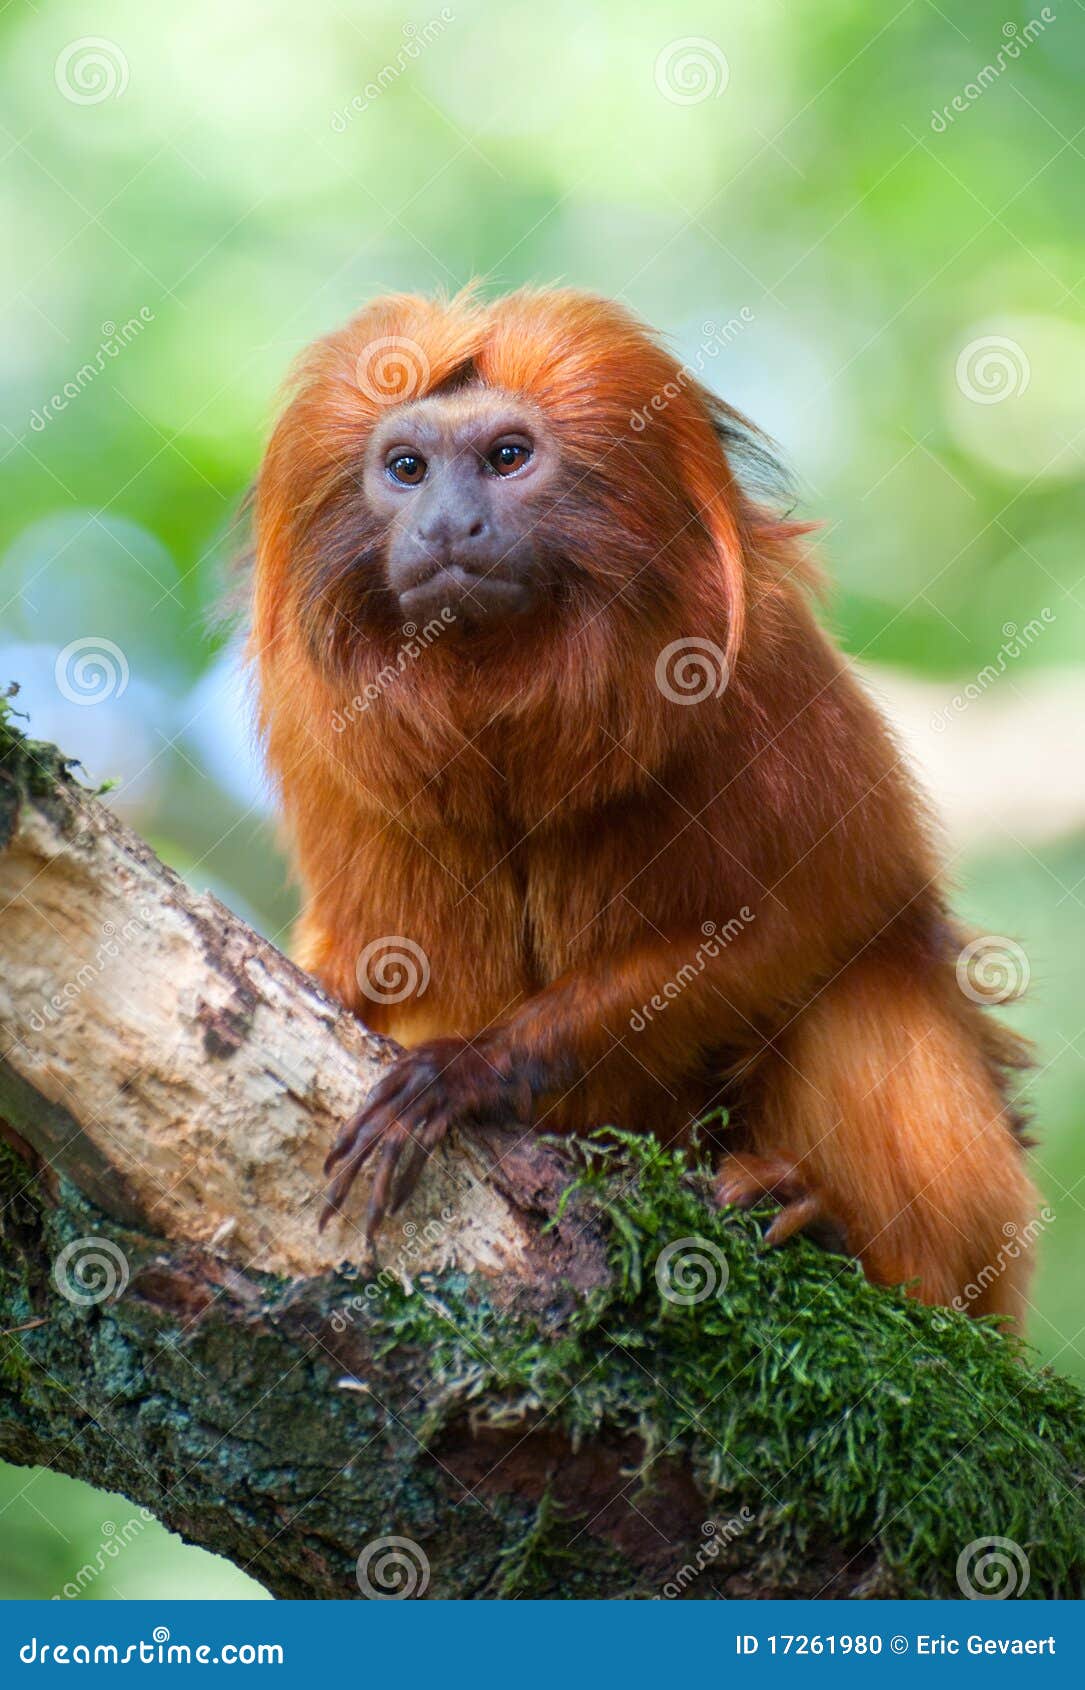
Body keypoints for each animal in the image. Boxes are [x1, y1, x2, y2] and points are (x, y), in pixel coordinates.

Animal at [249, 284, 1038, 1321]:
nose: (447, 525)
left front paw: (472, 1069)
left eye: (507, 457)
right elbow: (367, 965)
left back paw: (837, 1235)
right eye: (407, 469)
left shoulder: (767, 677)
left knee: (869, 981)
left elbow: (798, 922)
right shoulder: (322, 741)